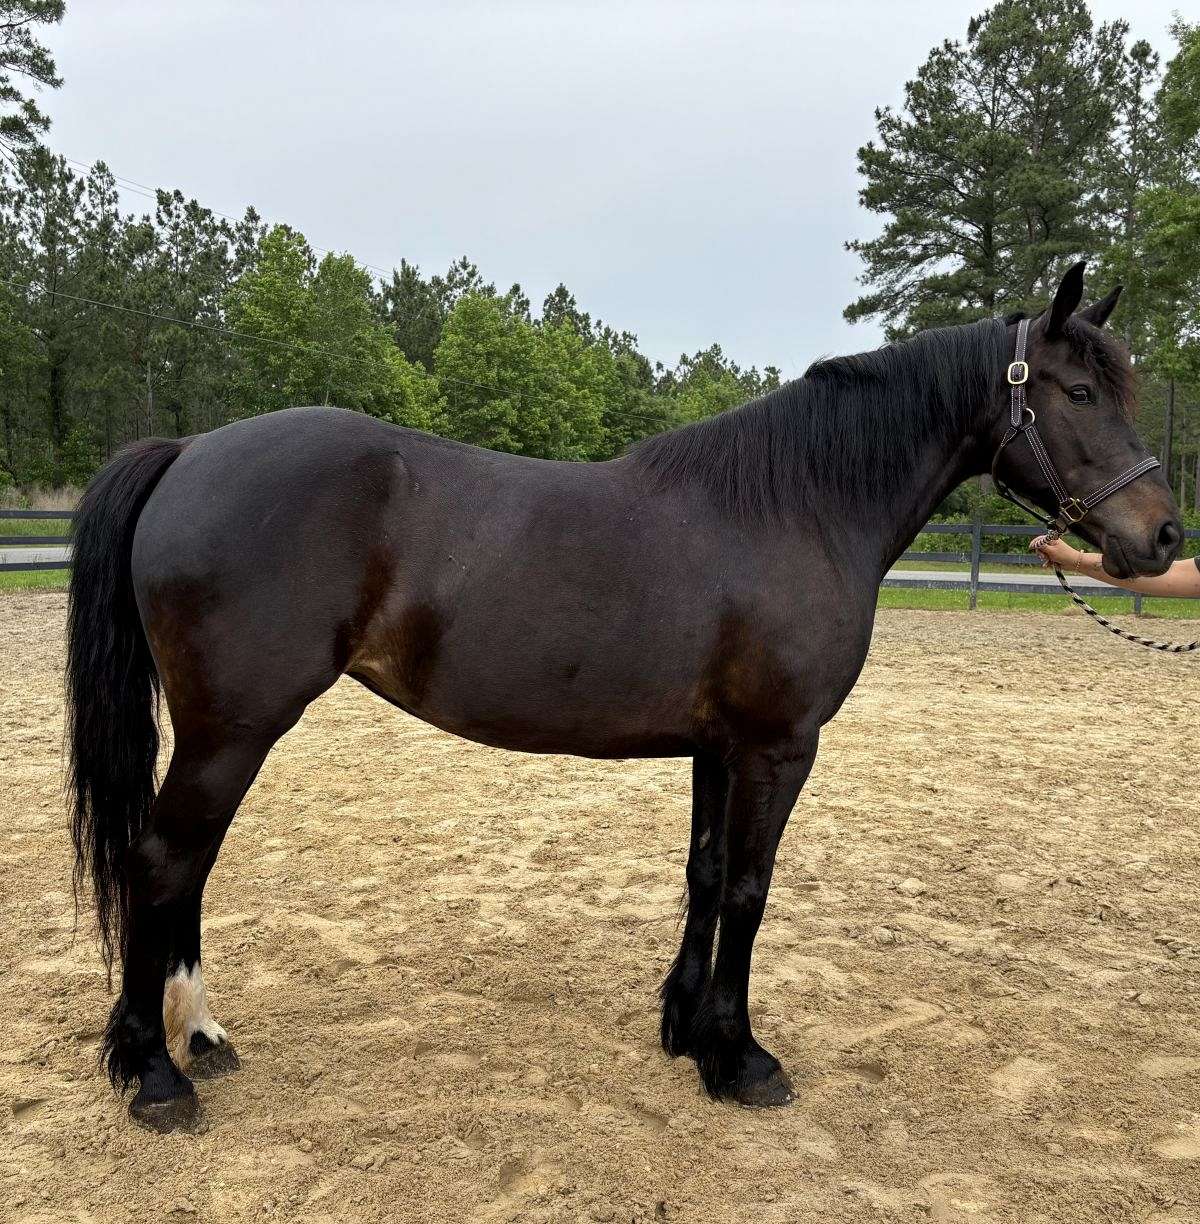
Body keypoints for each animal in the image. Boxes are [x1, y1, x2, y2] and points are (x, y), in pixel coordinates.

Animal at [65, 262, 1180, 1132]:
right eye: (1079, 391)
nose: (1162, 537)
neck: (795, 507)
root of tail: (190, 452)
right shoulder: (777, 746)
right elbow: (749, 889)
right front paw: (742, 1059)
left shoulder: (716, 747)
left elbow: (704, 876)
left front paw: (685, 1031)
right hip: (233, 729)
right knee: (162, 862)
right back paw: (155, 1074)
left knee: (181, 867)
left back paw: (198, 1037)